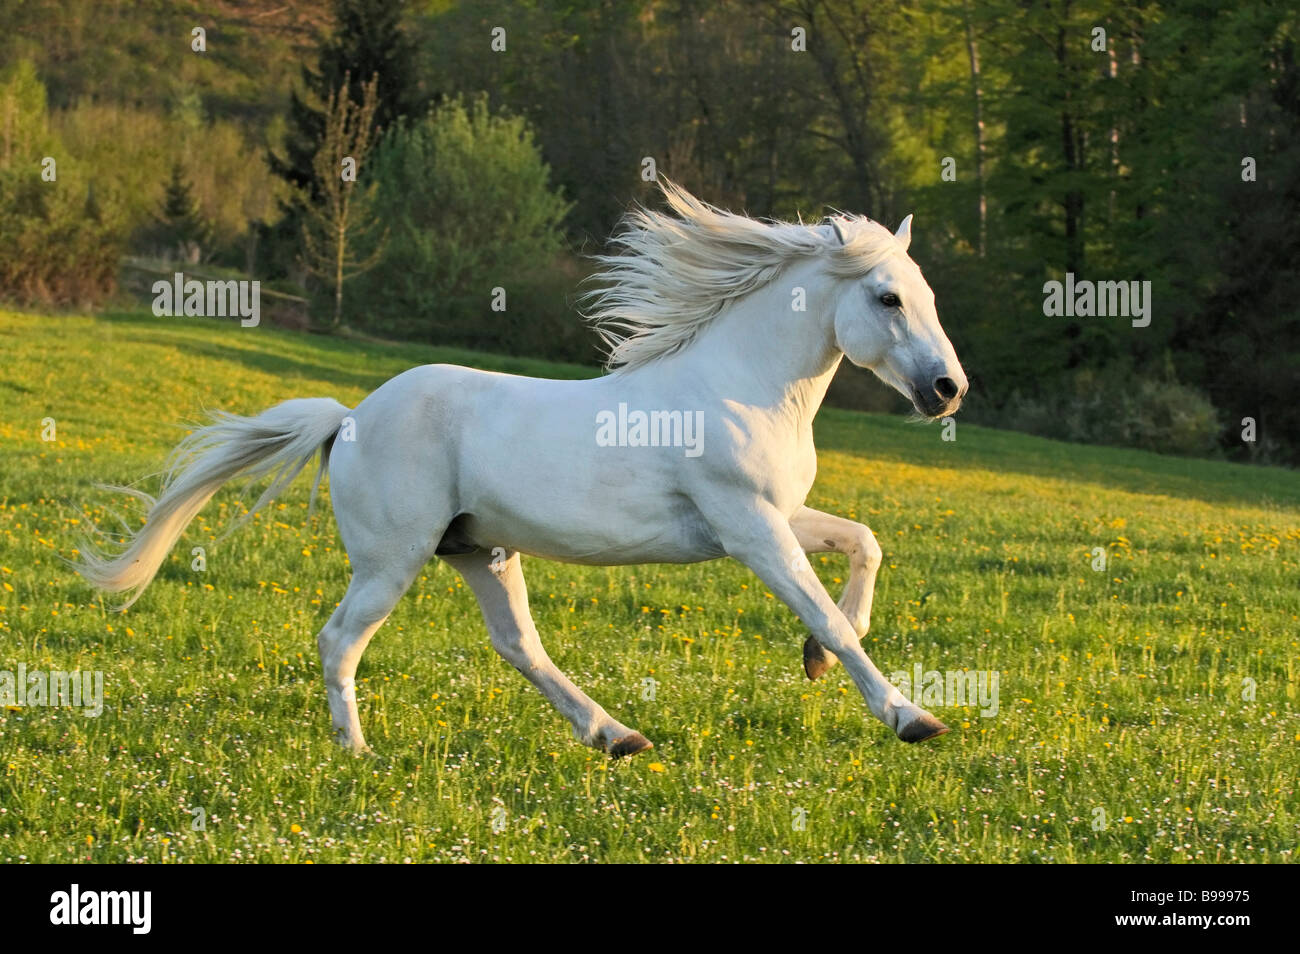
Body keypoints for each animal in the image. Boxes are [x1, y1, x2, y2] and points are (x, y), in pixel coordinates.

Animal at [75, 180, 968, 757]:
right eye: (887, 298)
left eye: (926, 291)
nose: (947, 390)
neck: (739, 385)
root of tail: (350, 419)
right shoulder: (748, 526)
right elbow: (827, 610)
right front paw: (911, 718)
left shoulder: (772, 517)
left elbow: (864, 544)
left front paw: (818, 658)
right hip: (394, 558)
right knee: (339, 640)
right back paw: (358, 752)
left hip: (481, 550)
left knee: (518, 646)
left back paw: (616, 736)